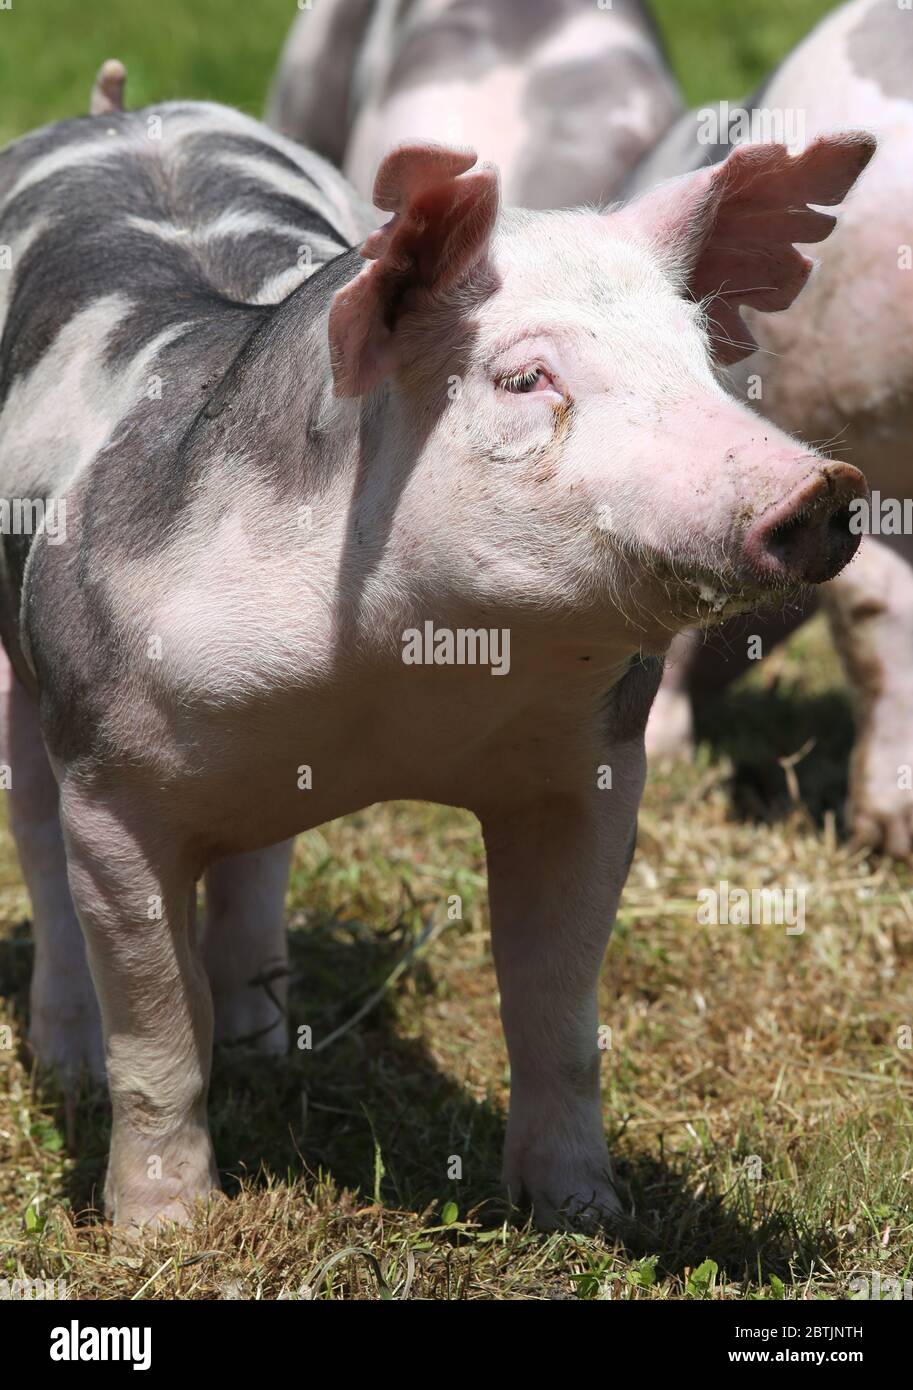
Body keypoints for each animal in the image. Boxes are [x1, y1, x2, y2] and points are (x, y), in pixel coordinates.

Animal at [0, 89, 873, 1229]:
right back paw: (70, 1068)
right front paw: (164, 1232)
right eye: (524, 377)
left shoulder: (589, 771)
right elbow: (153, 1029)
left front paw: (584, 1215)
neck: (394, 680)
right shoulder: (110, 771)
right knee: (37, 842)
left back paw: (265, 1046)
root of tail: (121, 109)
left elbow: (555, 1009)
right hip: (29, 682)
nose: (822, 485)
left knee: (256, 859)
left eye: (699, 359)